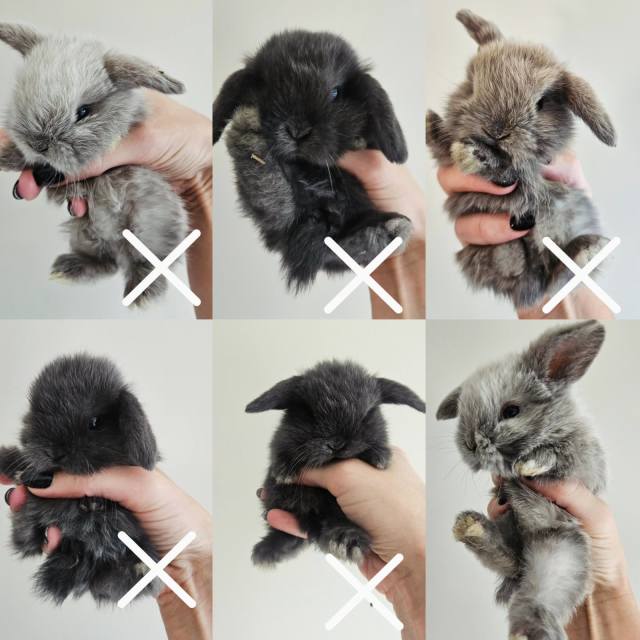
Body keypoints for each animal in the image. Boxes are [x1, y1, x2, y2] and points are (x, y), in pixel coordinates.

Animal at [0, 23, 189, 306]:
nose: (38, 144)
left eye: (83, 112)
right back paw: (66, 271)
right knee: (107, 264)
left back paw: (143, 296)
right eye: (20, 95)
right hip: (85, 232)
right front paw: (7, 155)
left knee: (149, 264)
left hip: (148, 227)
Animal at [246, 360, 425, 565]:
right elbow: (281, 452)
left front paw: (380, 458)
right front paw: (284, 471)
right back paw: (266, 552)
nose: (336, 444)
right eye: (309, 414)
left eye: (366, 415)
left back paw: (346, 542)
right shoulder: (280, 442)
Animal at [426, 10, 617, 308]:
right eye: (472, 87)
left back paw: (586, 251)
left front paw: (474, 154)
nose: (496, 130)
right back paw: (513, 257)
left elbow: (503, 169)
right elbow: (446, 147)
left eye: (541, 103)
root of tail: (529, 293)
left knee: (557, 278)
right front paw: (443, 132)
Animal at [437, 321, 607, 640]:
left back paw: (528, 630)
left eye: (511, 411)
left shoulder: (585, 466)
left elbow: (562, 453)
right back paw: (470, 526)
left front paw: (530, 464)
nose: (470, 444)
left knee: (535, 597)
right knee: (508, 560)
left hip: (561, 556)